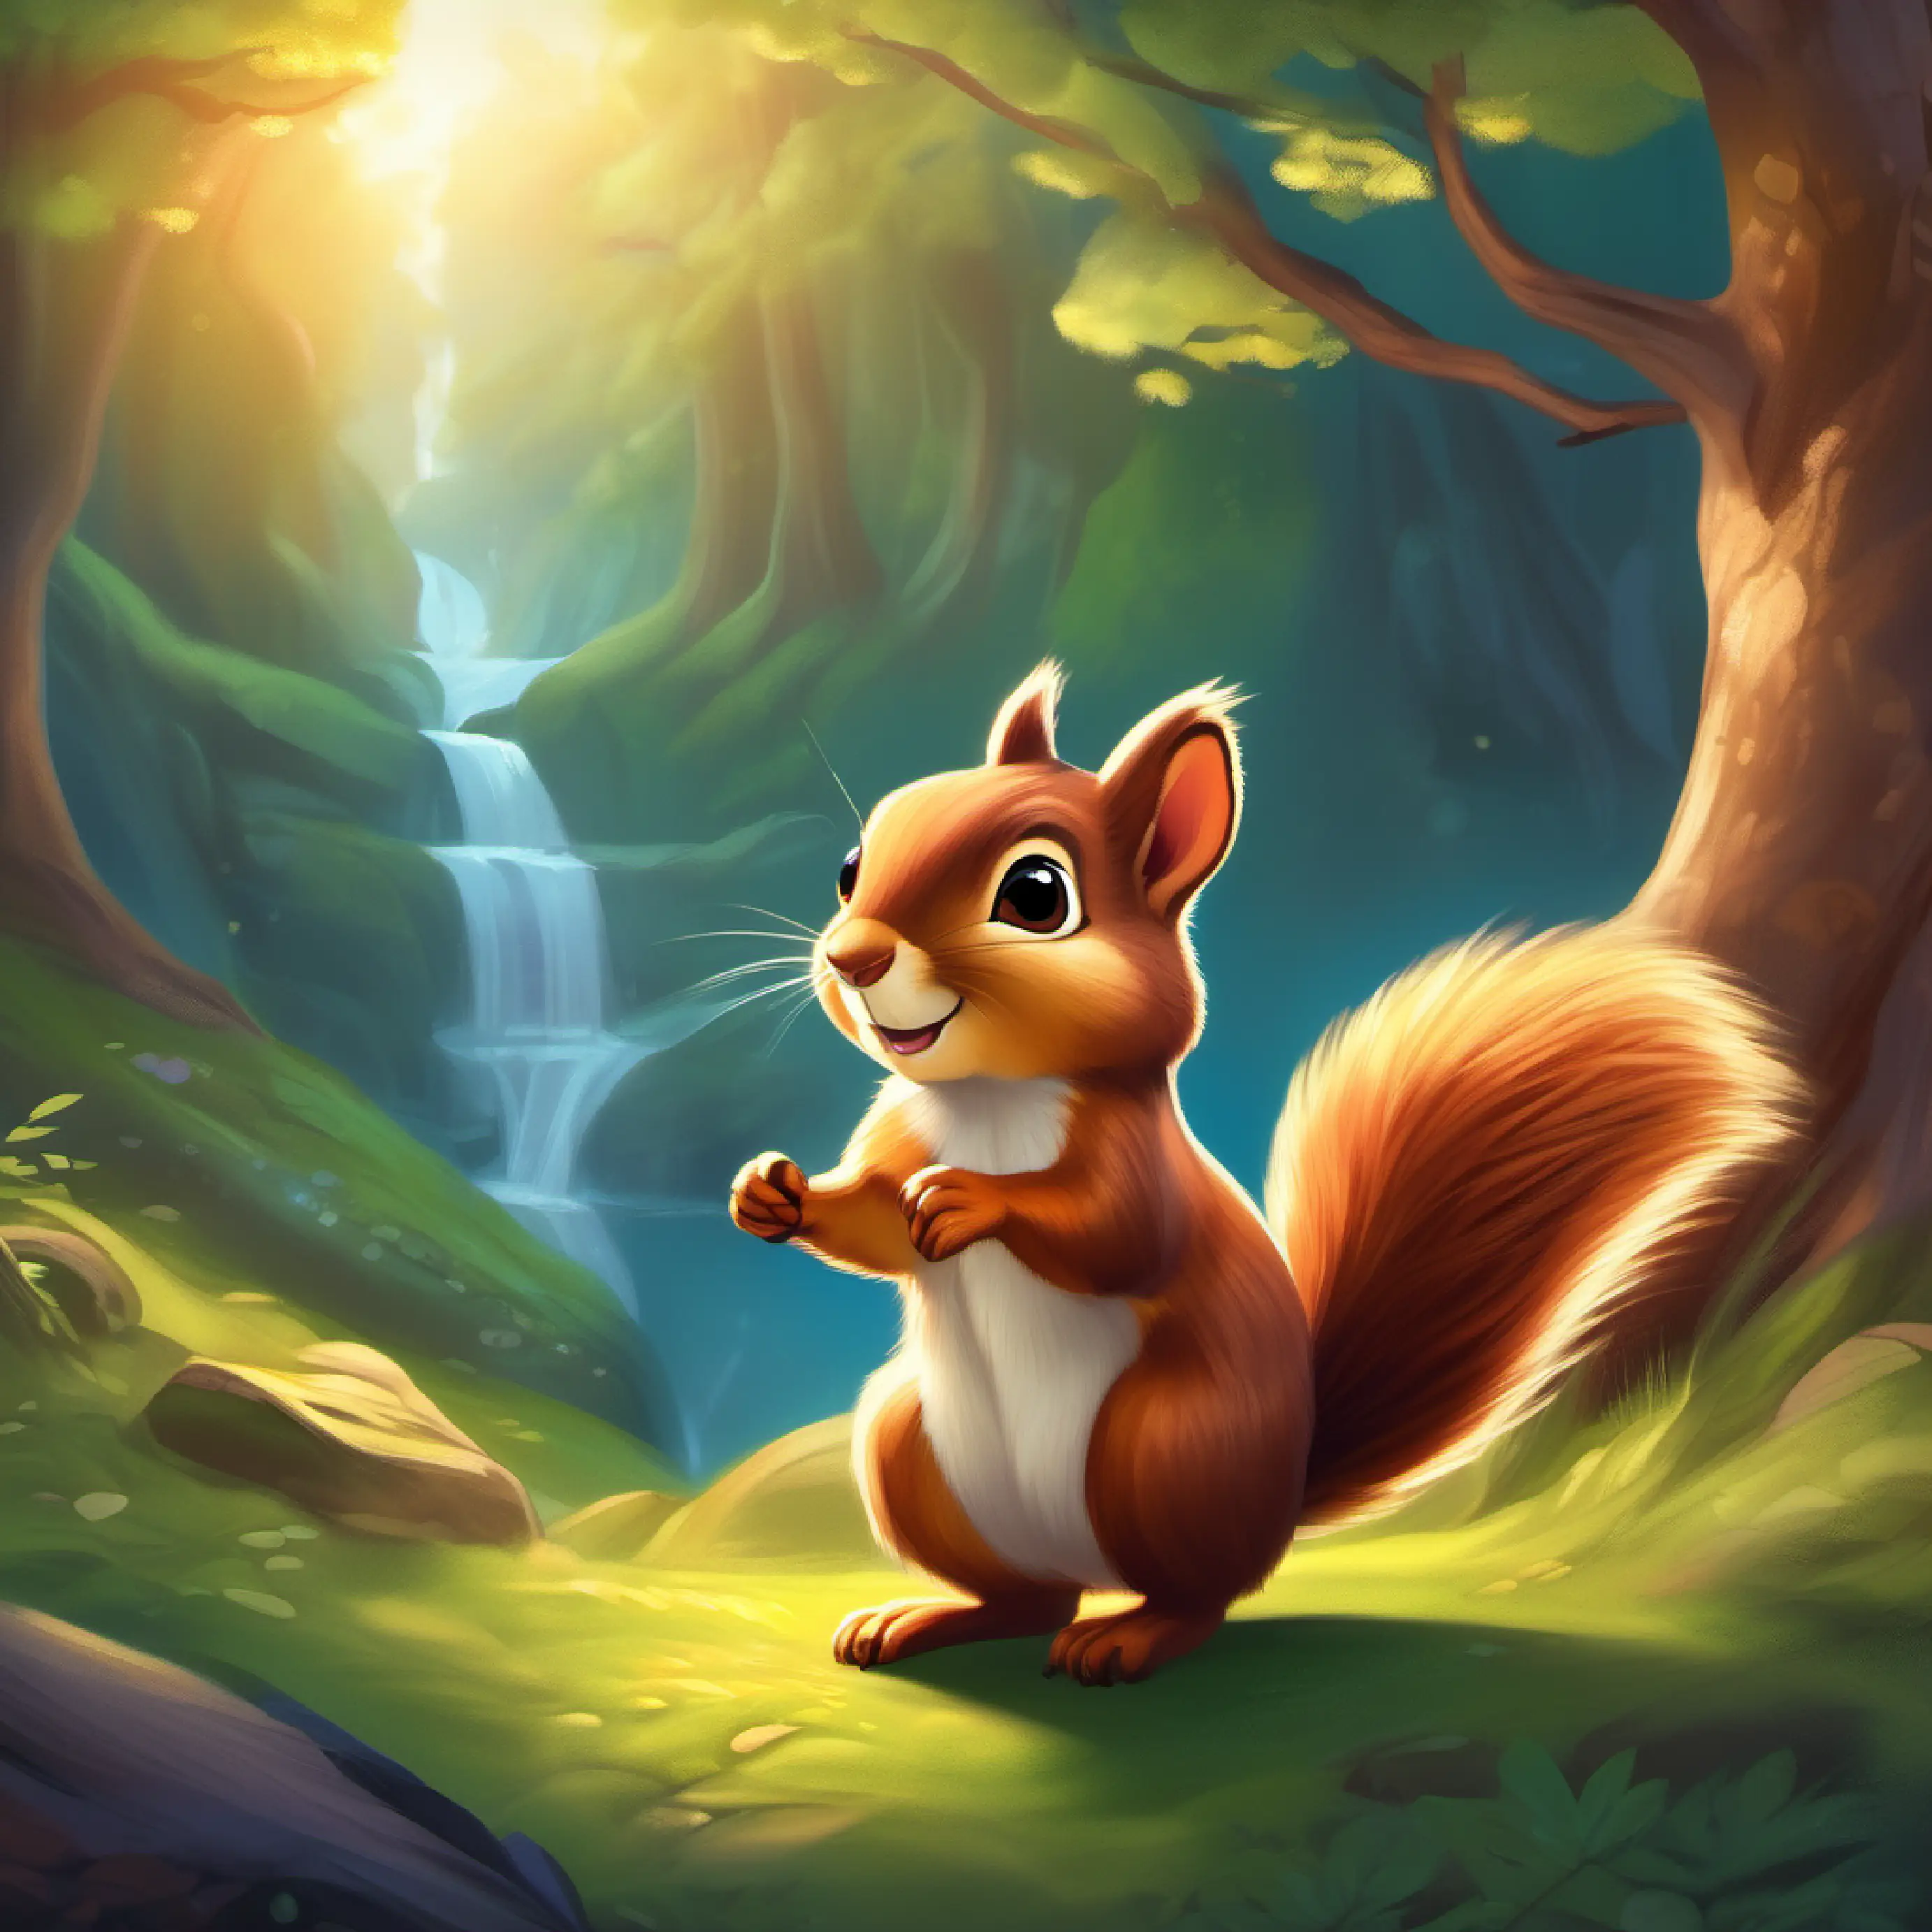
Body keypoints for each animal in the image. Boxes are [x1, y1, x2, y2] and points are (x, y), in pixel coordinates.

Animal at [729, 664, 1800, 1686]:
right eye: (850, 868)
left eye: (1036, 894)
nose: (851, 956)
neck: (989, 1098)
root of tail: (1281, 1497)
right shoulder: (898, 1132)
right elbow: (875, 1224)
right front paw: (772, 1192)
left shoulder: (1137, 1165)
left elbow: (1111, 1237)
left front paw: (970, 1199)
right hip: (906, 1441)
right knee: (1028, 1599)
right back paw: (918, 1618)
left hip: (1163, 1446)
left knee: (1192, 1598)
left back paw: (1127, 1639)